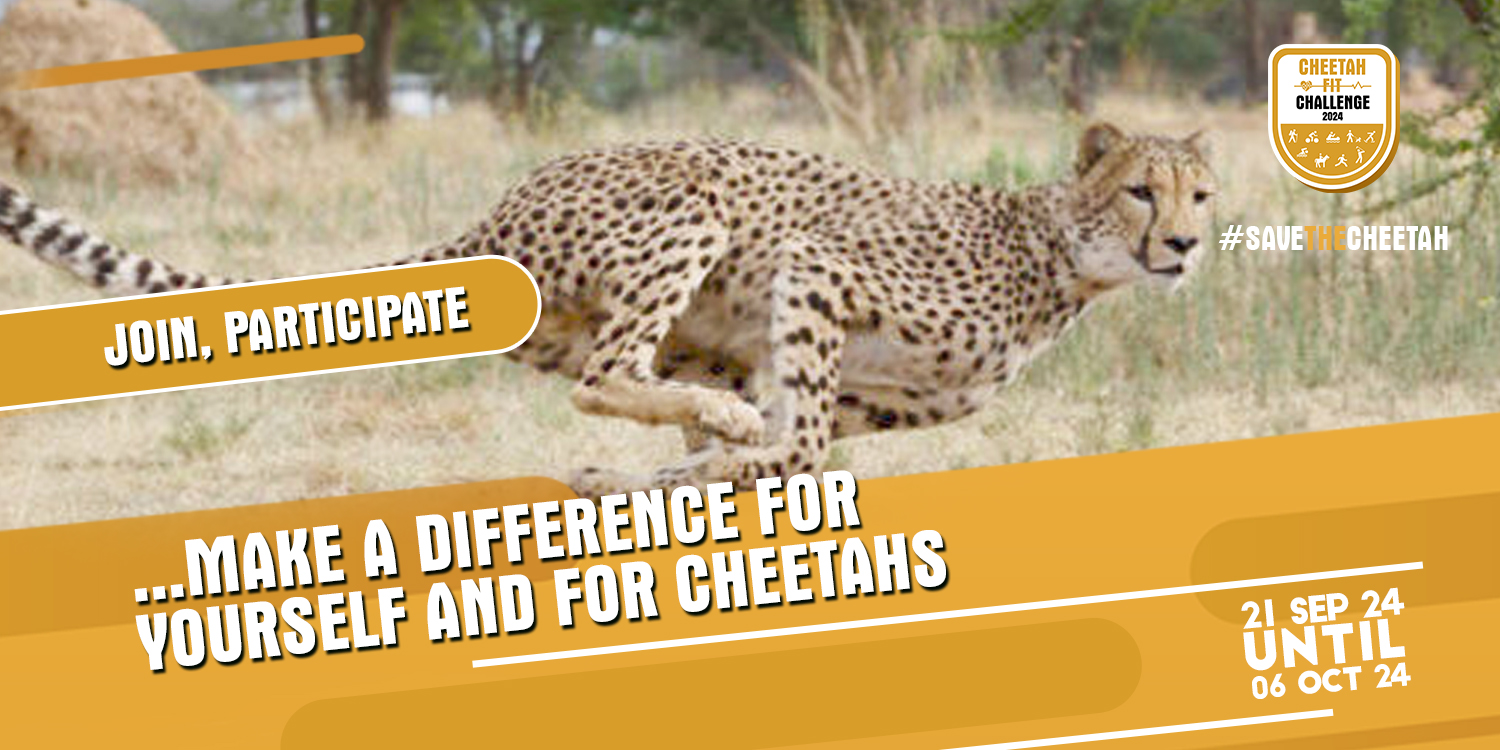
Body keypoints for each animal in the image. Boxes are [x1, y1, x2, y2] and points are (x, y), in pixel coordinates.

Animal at [0, 122, 1216, 497]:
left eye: (1201, 193)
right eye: (1140, 190)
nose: (1188, 245)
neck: (1065, 259)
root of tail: (505, 206)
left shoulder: (871, 392)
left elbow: (796, 453)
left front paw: (689, 478)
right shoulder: (817, 268)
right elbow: (794, 442)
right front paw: (720, 456)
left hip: (677, 329)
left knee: (640, 388)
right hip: (695, 211)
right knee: (610, 378)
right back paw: (684, 439)